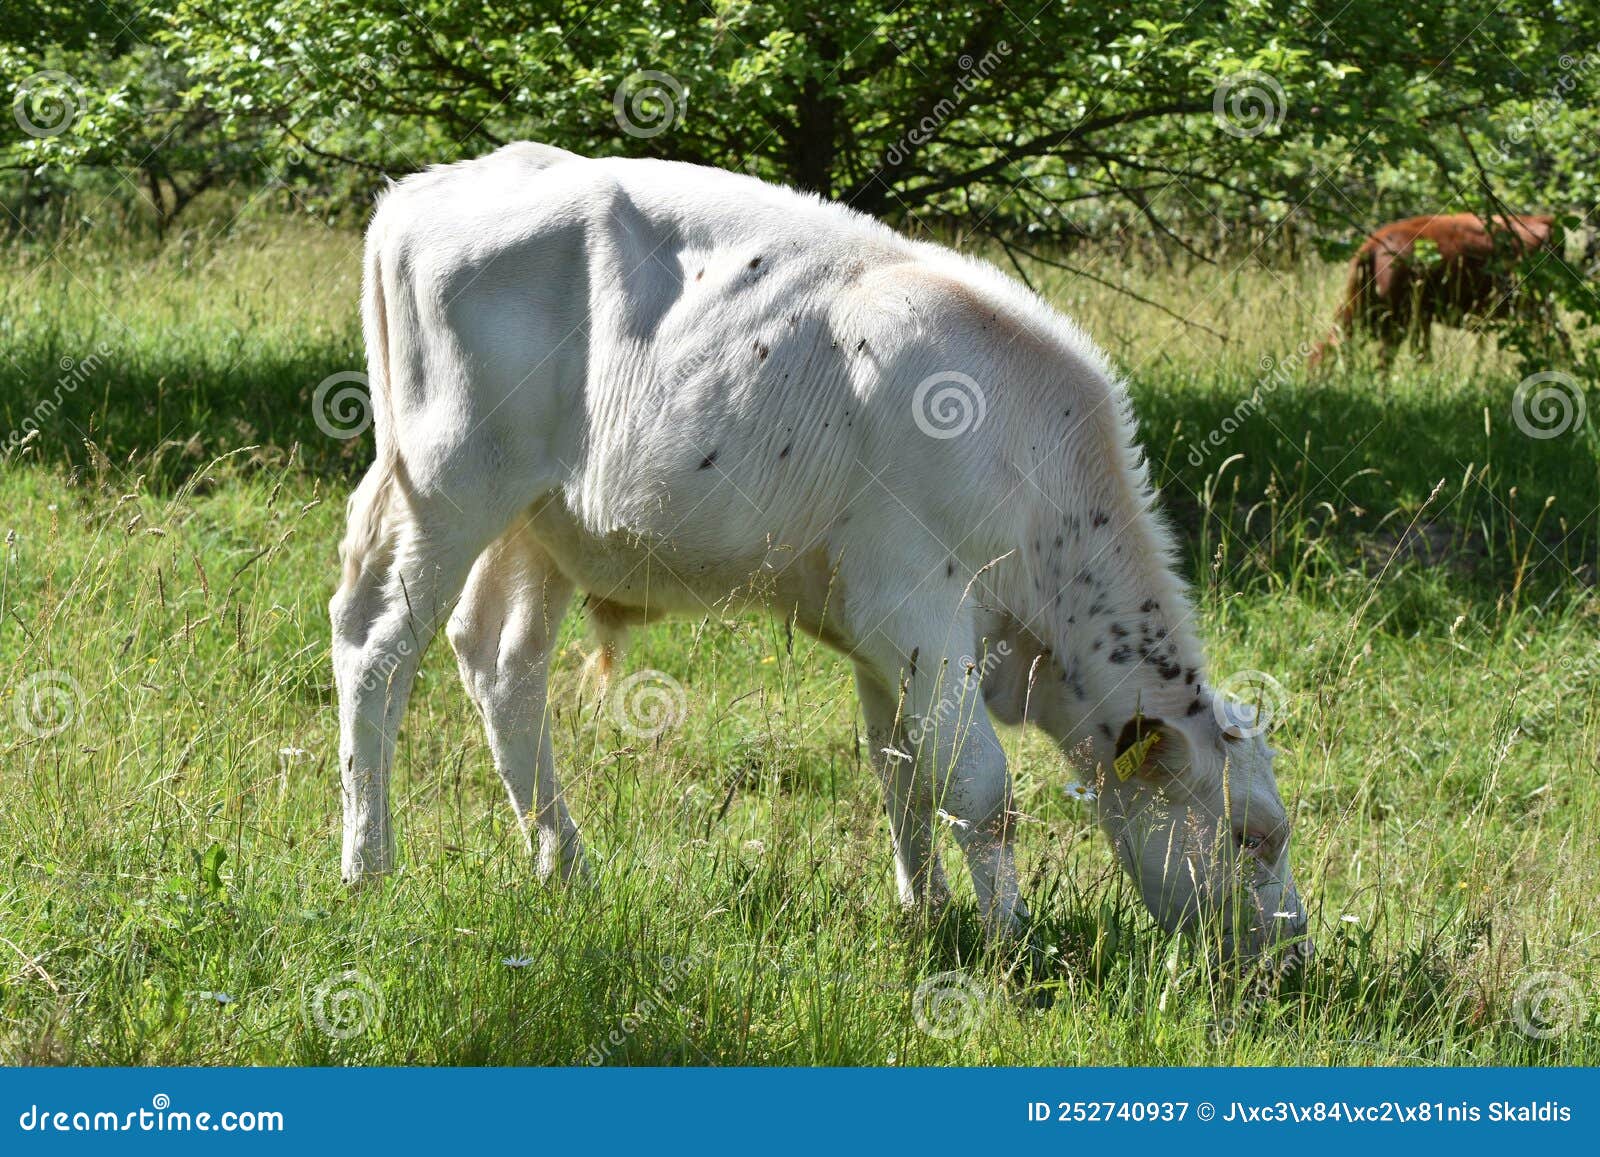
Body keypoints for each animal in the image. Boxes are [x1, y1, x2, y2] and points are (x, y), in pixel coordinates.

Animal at [330, 142, 1308, 962]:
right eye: (1253, 833)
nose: (1294, 952)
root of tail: (431, 186)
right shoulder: (918, 608)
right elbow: (982, 792)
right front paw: (1015, 943)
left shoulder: (881, 637)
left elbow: (903, 773)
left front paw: (927, 910)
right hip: (447, 483)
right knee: (376, 647)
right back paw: (370, 866)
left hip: (541, 520)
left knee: (501, 661)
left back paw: (565, 864)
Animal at [1309, 213, 1561, 367]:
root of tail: (1543, 220)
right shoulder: (1422, 317)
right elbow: (1422, 353)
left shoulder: (1401, 320)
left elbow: (1388, 359)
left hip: (1536, 306)